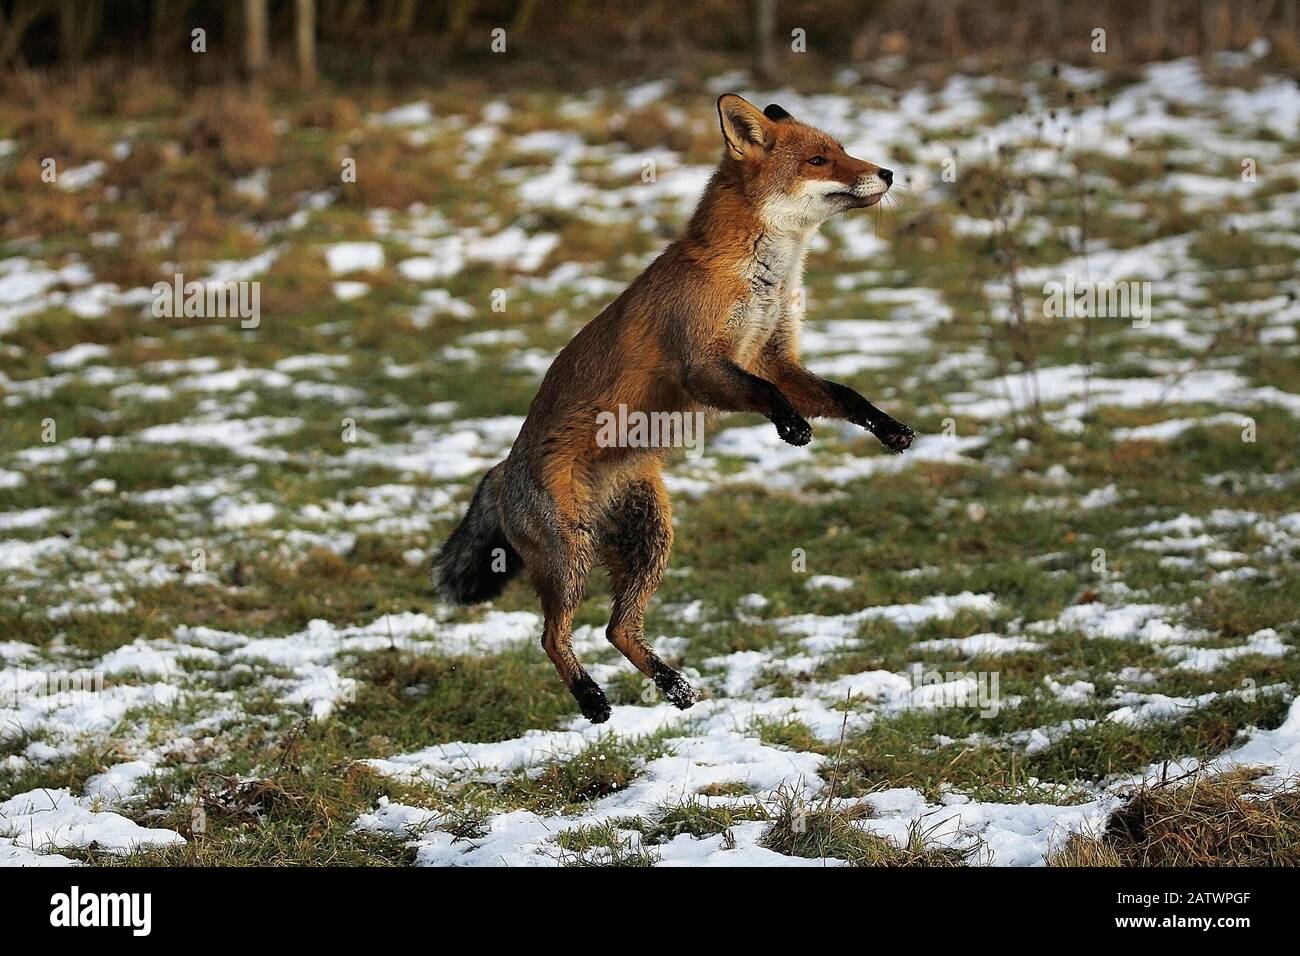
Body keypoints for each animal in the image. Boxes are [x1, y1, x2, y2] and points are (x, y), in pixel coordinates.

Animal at [433, 94, 916, 723]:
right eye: (818, 160)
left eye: (842, 150)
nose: (886, 173)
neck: (760, 281)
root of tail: (500, 468)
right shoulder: (704, 366)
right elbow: (768, 398)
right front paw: (791, 427)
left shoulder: (775, 357)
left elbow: (845, 395)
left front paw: (889, 429)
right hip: (571, 556)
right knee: (551, 636)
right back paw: (591, 697)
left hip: (650, 540)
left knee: (616, 628)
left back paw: (672, 685)